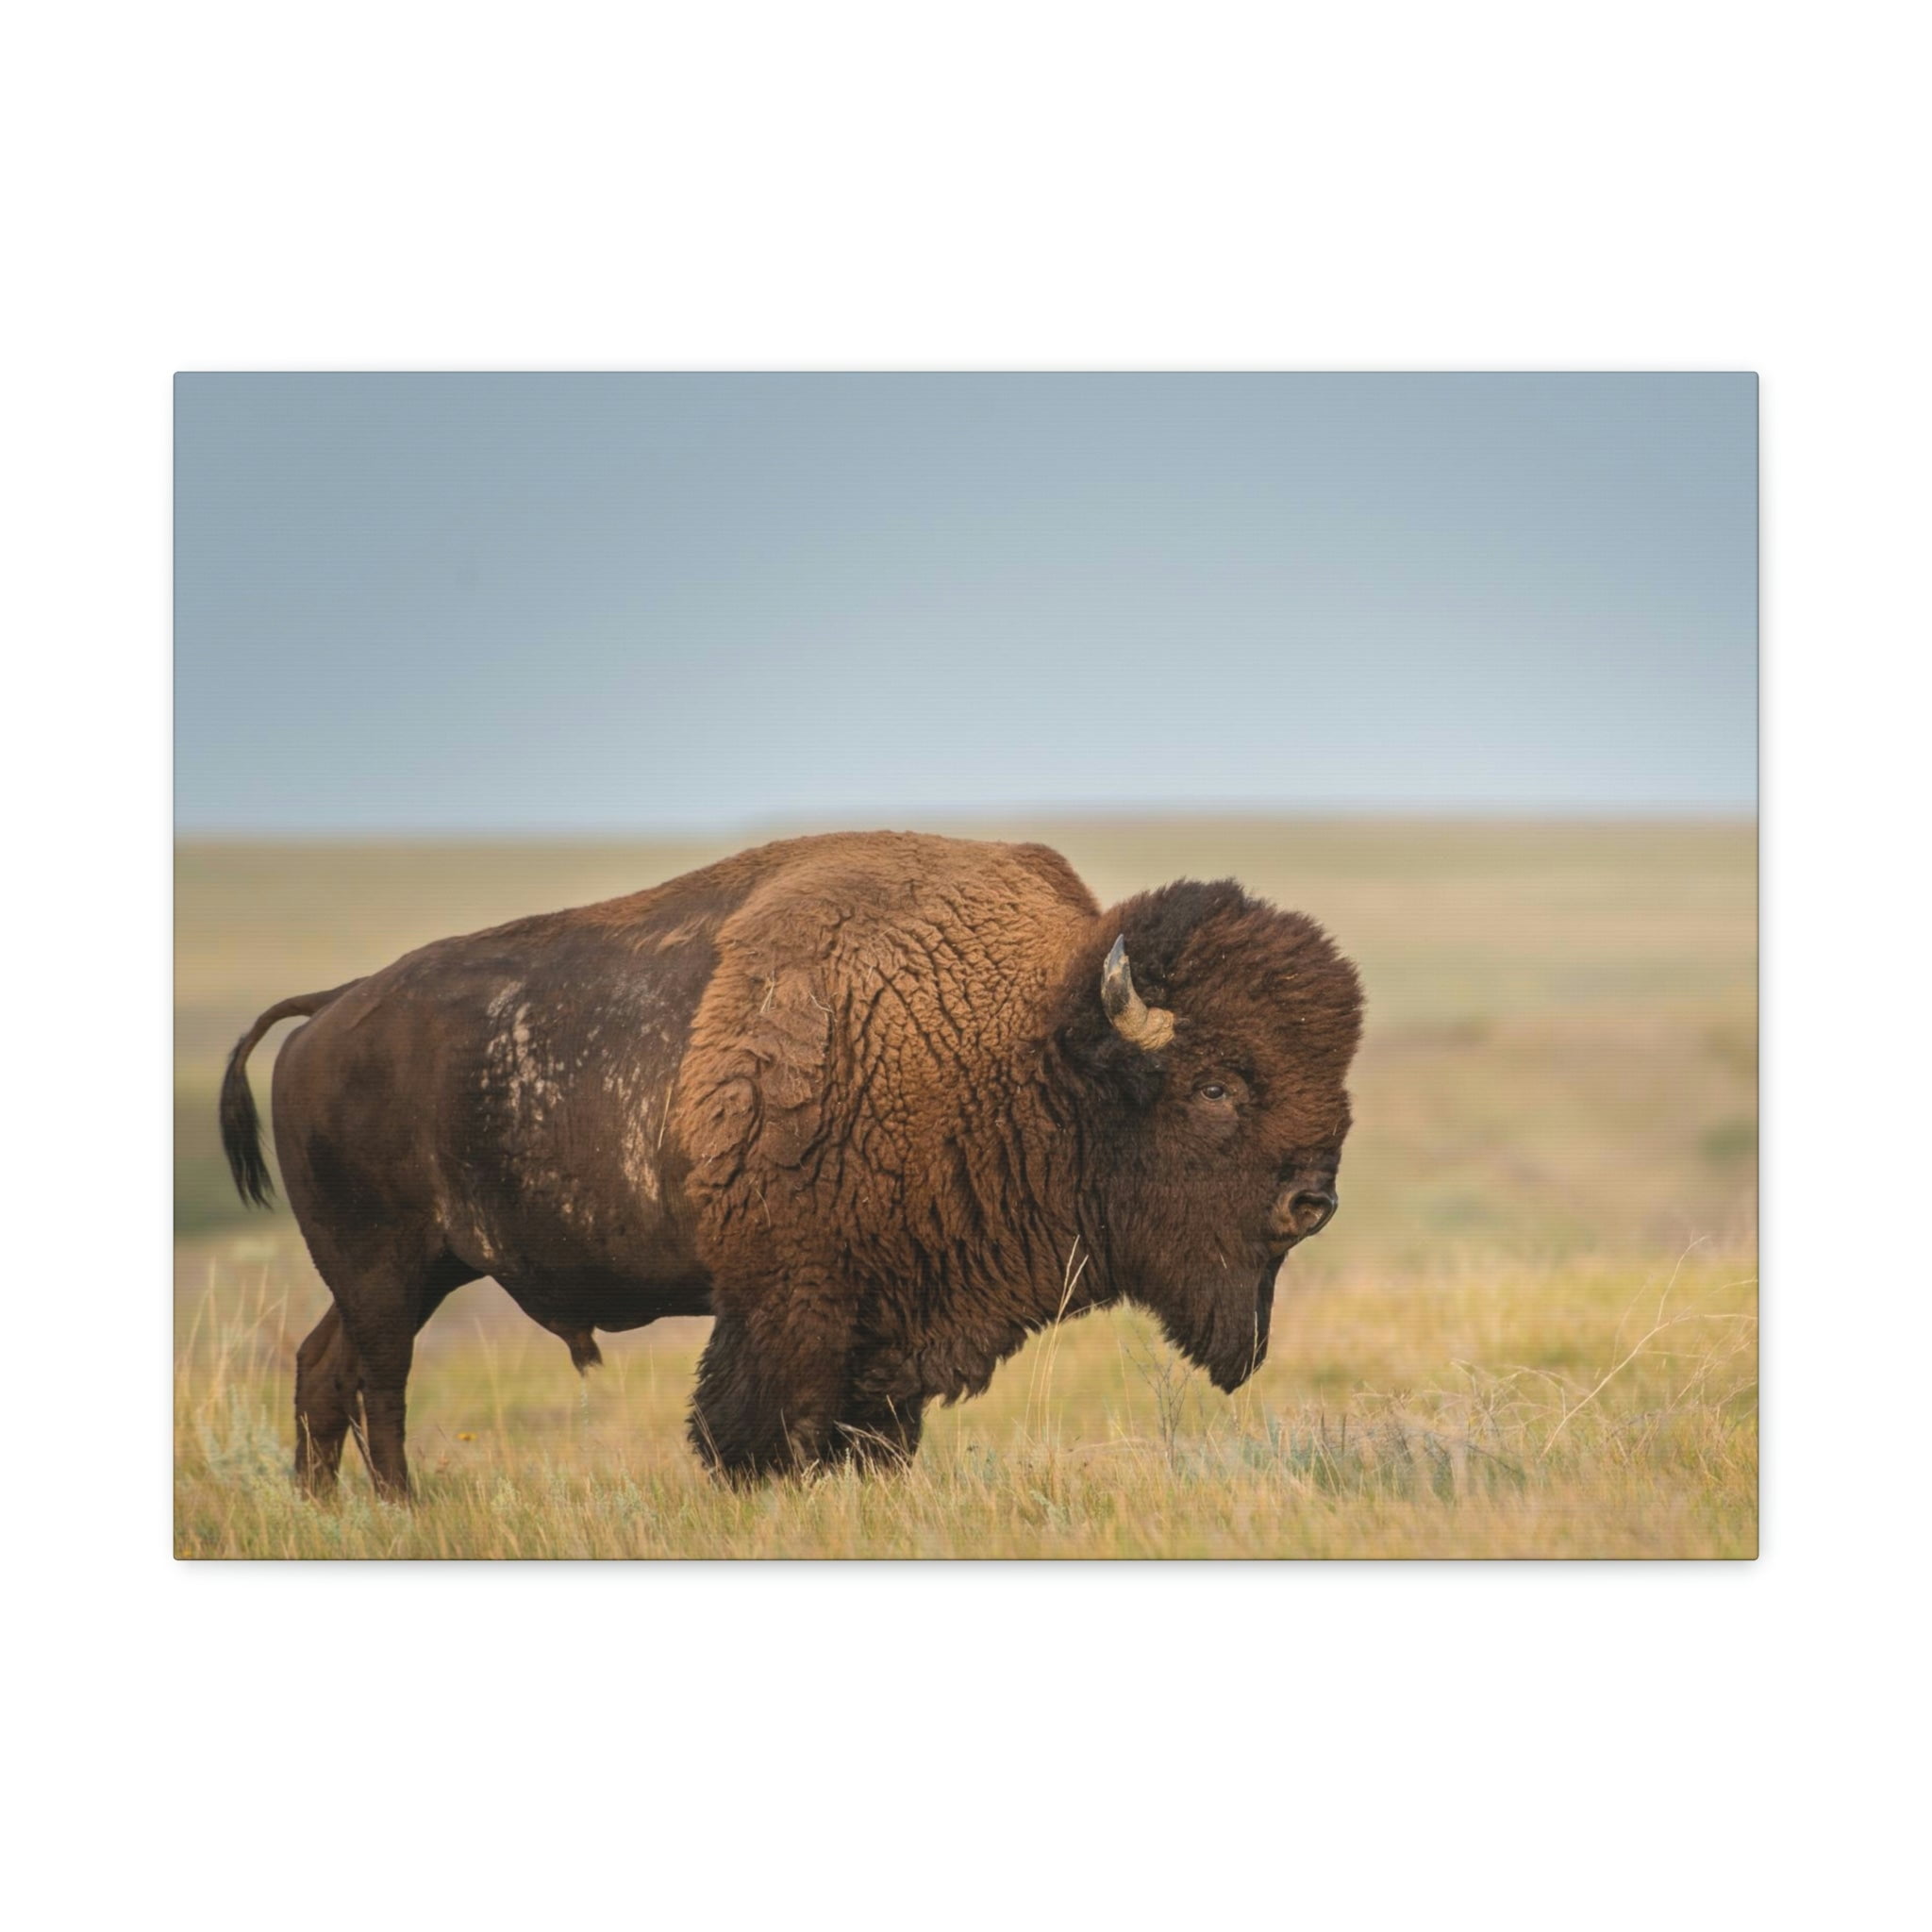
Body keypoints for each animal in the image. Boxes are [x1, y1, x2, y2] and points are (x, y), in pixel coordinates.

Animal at [219, 832, 1364, 1497]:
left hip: (414, 1271)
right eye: (1215, 1087)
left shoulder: (894, 1319)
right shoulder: (791, 1301)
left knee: (323, 1369)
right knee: (378, 1382)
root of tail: (330, 1011)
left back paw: (327, 1508)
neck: (1018, 1040)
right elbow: (762, 1427)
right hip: (383, 1269)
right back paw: (398, 1504)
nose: (1311, 1200)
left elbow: (875, 1432)